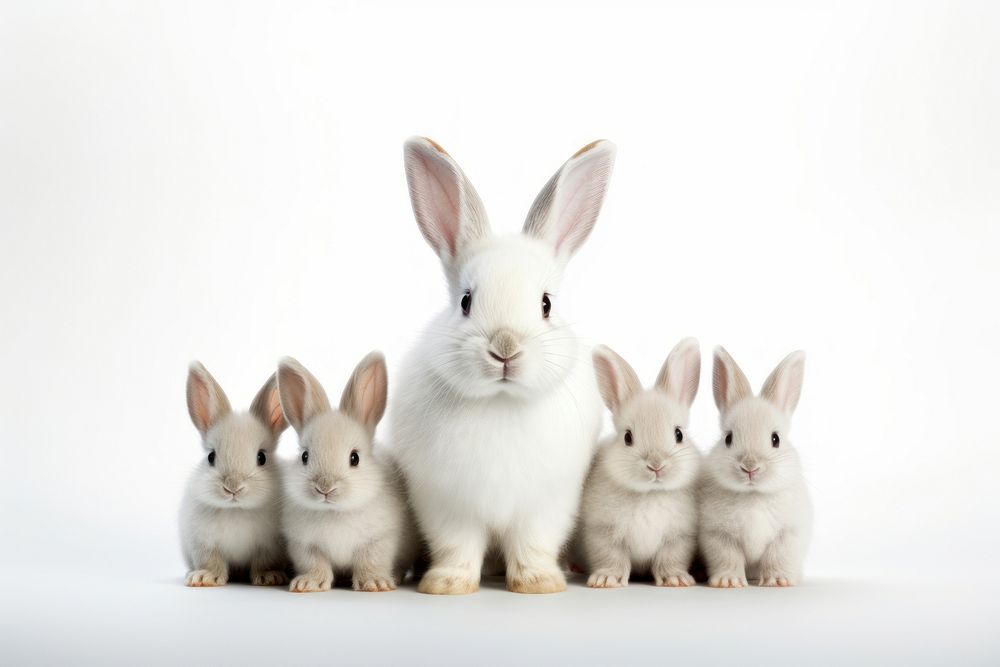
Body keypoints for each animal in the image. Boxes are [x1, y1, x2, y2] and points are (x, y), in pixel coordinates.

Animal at [180, 362, 289, 587]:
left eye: (261, 457)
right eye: (211, 456)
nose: (233, 487)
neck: (237, 509)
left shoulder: (269, 547)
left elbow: (263, 563)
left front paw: (269, 577)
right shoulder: (203, 544)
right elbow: (212, 562)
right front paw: (205, 578)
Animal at [278, 353, 418, 593]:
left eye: (355, 458)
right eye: (305, 456)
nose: (325, 488)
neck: (335, 512)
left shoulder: (379, 539)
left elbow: (371, 562)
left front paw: (375, 583)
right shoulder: (304, 545)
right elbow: (315, 565)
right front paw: (308, 584)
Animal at [388, 137, 615, 595]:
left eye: (546, 304)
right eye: (465, 301)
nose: (505, 347)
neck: (501, 401)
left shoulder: (544, 505)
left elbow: (532, 544)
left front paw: (538, 583)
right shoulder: (448, 505)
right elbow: (457, 547)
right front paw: (446, 585)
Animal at [579, 339, 703, 588]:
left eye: (678, 434)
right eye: (628, 437)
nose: (656, 465)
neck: (650, 493)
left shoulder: (679, 538)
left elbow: (670, 559)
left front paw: (675, 579)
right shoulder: (602, 532)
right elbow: (612, 558)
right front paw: (606, 579)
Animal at [699, 346, 813, 588]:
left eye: (775, 439)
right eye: (728, 438)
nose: (750, 467)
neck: (753, 495)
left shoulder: (787, 535)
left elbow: (777, 558)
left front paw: (778, 581)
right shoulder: (718, 536)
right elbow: (728, 558)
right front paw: (729, 582)